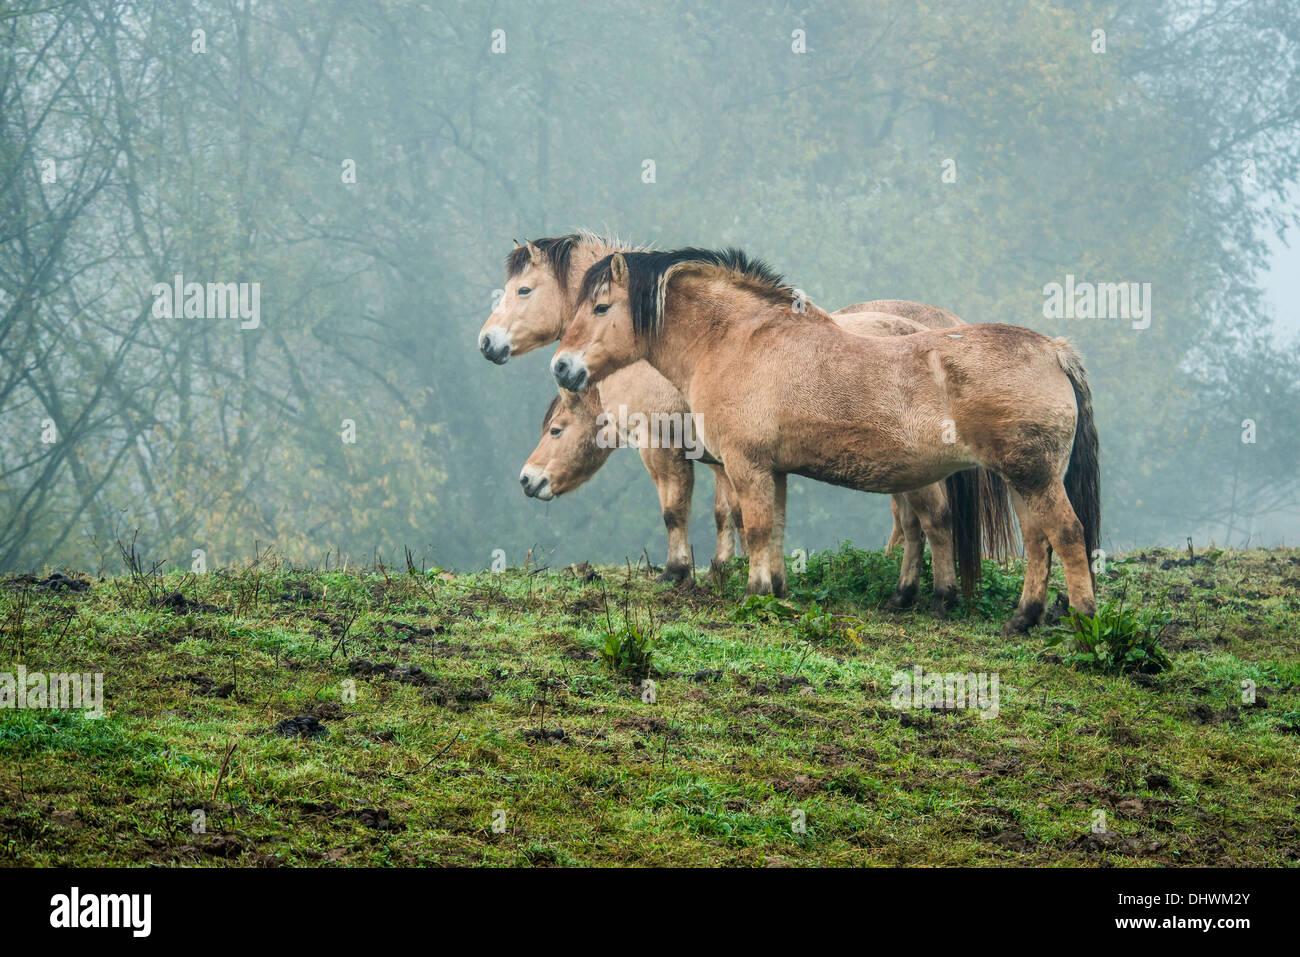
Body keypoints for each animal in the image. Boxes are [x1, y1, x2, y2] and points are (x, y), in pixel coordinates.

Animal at [551, 248, 1099, 633]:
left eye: (601, 307)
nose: (562, 366)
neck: (737, 340)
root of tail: (1053, 351)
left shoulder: (746, 466)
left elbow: (755, 529)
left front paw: (753, 595)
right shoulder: (773, 471)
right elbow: (773, 530)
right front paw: (776, 591)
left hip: (1034, 477)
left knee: (1067, 534)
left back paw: (1084, 621)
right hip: (1021, 480)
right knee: (1037, 542)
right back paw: (1021, 619)